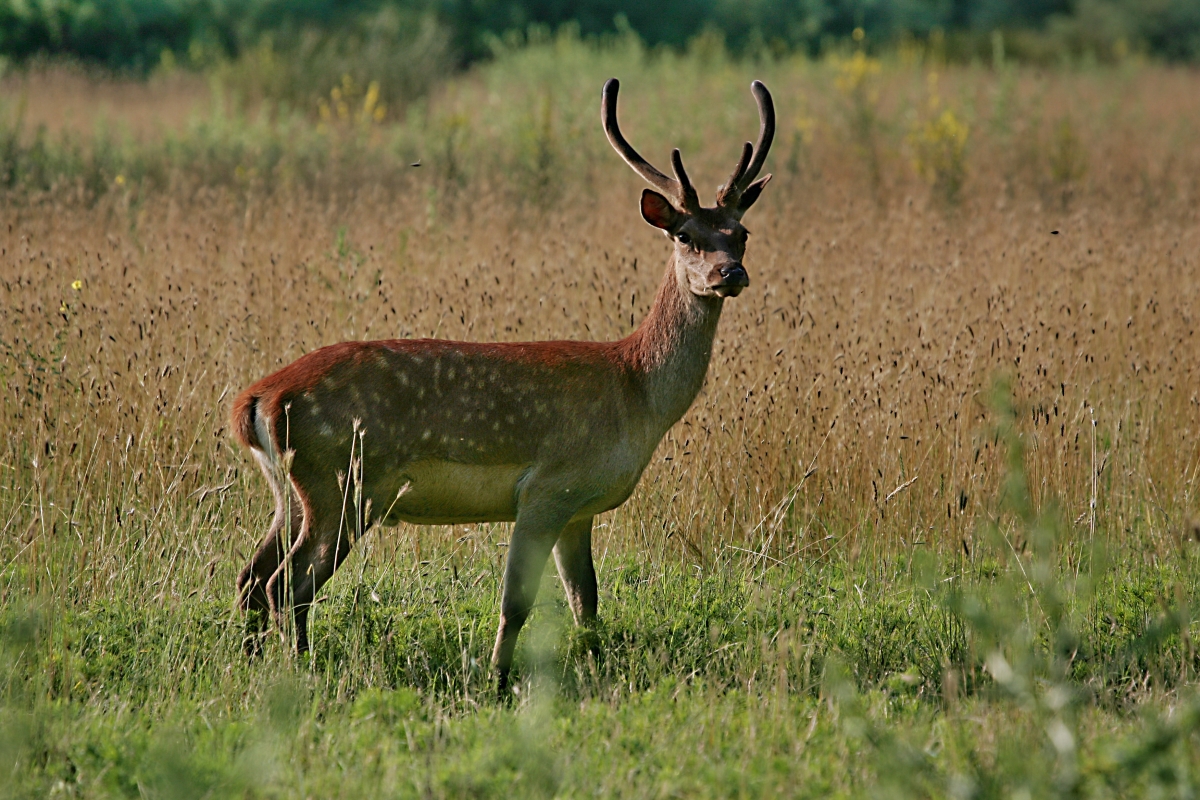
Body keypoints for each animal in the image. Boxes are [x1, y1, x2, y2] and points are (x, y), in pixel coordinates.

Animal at [231, 77, 774, 693]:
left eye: (742, 233)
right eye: (685, 235)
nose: (731, 273)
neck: (634, 388)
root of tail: (255, 401)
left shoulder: (579, 506)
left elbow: (586, 599)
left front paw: (594, 665)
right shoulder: (547, 487)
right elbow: (516, 602)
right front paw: (497, 680)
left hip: (294, 491)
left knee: (251, 578)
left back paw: (252, 663)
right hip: (343, 482)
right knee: (287, 585)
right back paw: (302, 671)